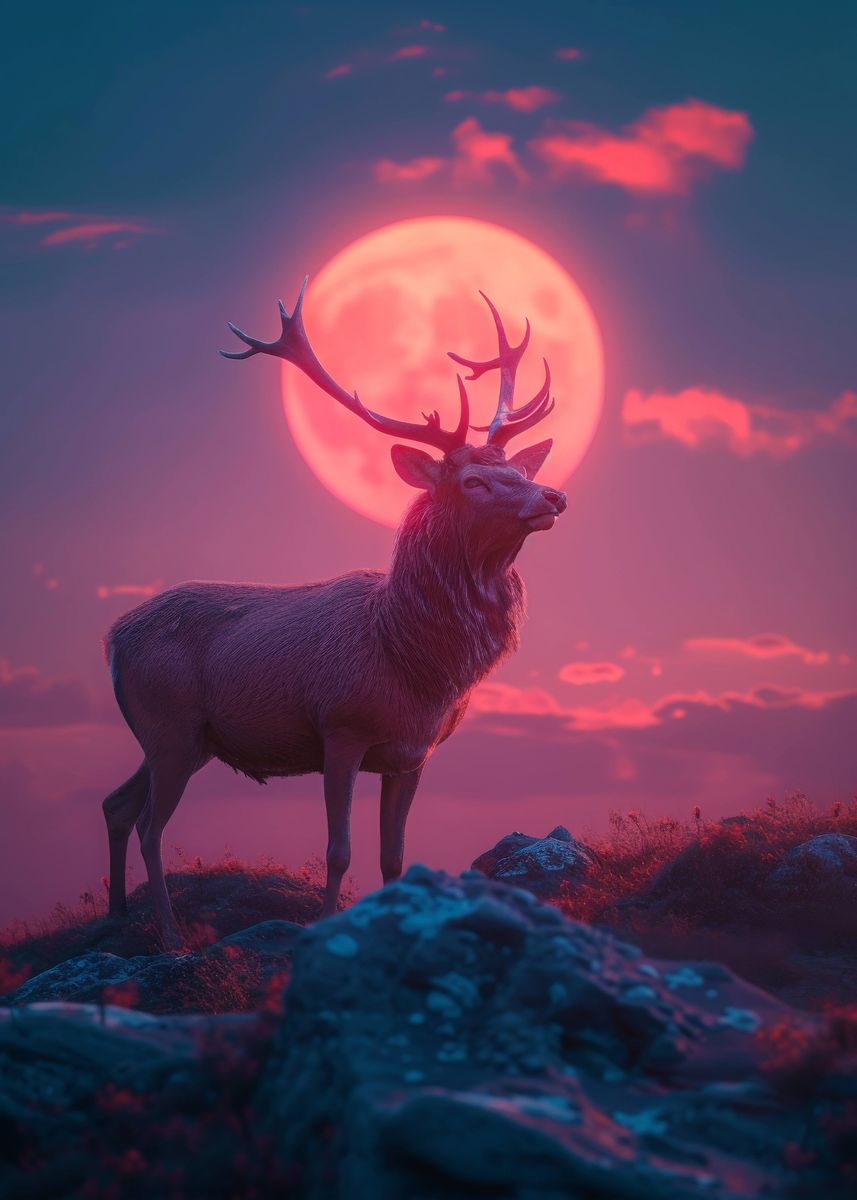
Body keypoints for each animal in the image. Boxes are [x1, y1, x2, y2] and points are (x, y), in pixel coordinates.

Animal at [101, 276, 566, 947]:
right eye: (474, 481)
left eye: (515, 469)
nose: (552, 494)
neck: (413, 665)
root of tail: (113, 640)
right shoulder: (339, 729)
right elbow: (339, 851)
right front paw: (323, 928)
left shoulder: (413, 753)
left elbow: (394, 858)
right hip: (169, 726)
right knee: (148, 826)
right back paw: (170, 937)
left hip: (183, 738)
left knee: (115, 805)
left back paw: (115, 918)